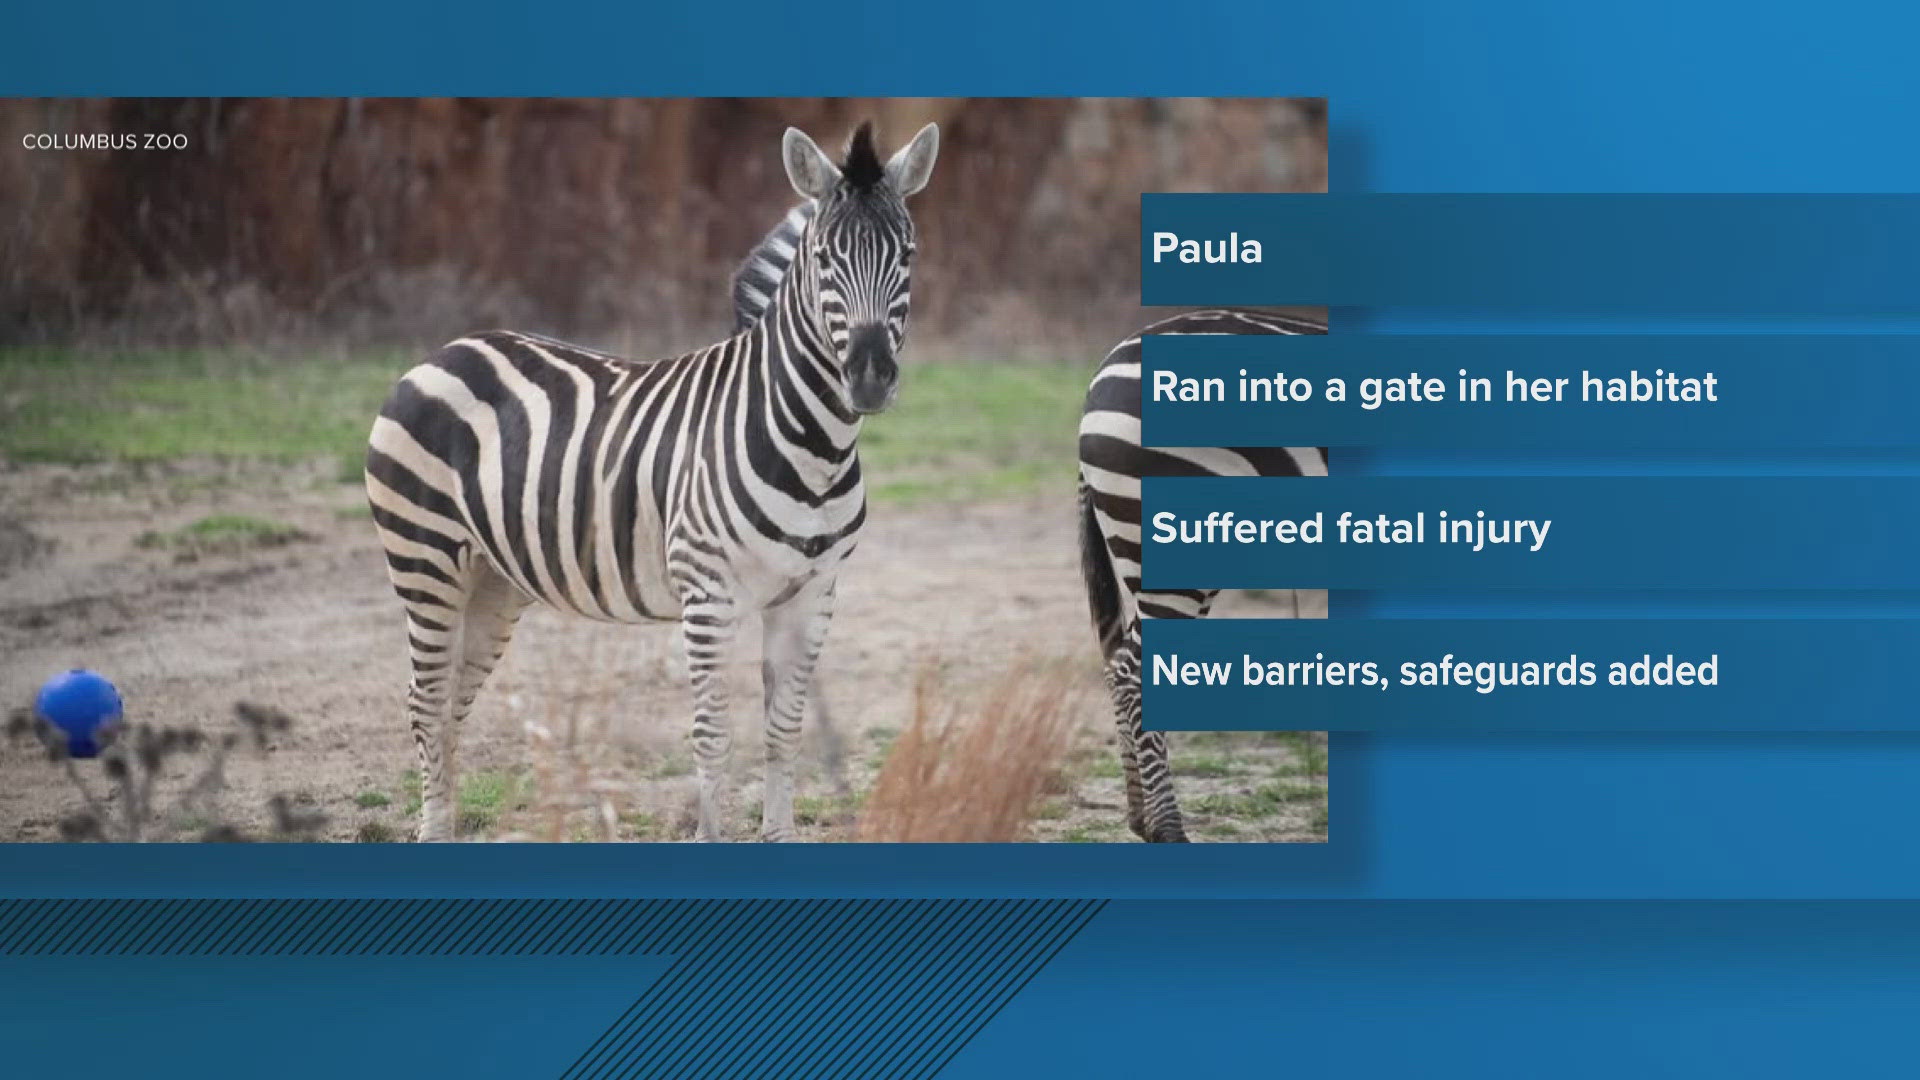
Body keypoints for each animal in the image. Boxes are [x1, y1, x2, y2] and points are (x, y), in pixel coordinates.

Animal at [363, 121, 940, 842]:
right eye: (825, 261)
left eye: (908, 256)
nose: (868, 377)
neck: (815, 450)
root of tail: (448, 350)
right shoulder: (708, 596)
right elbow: (713, 737)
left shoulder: (813, 595)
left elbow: (784, 731)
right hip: (425, 560)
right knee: (426, 699)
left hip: (491, 580)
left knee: (451, 704)